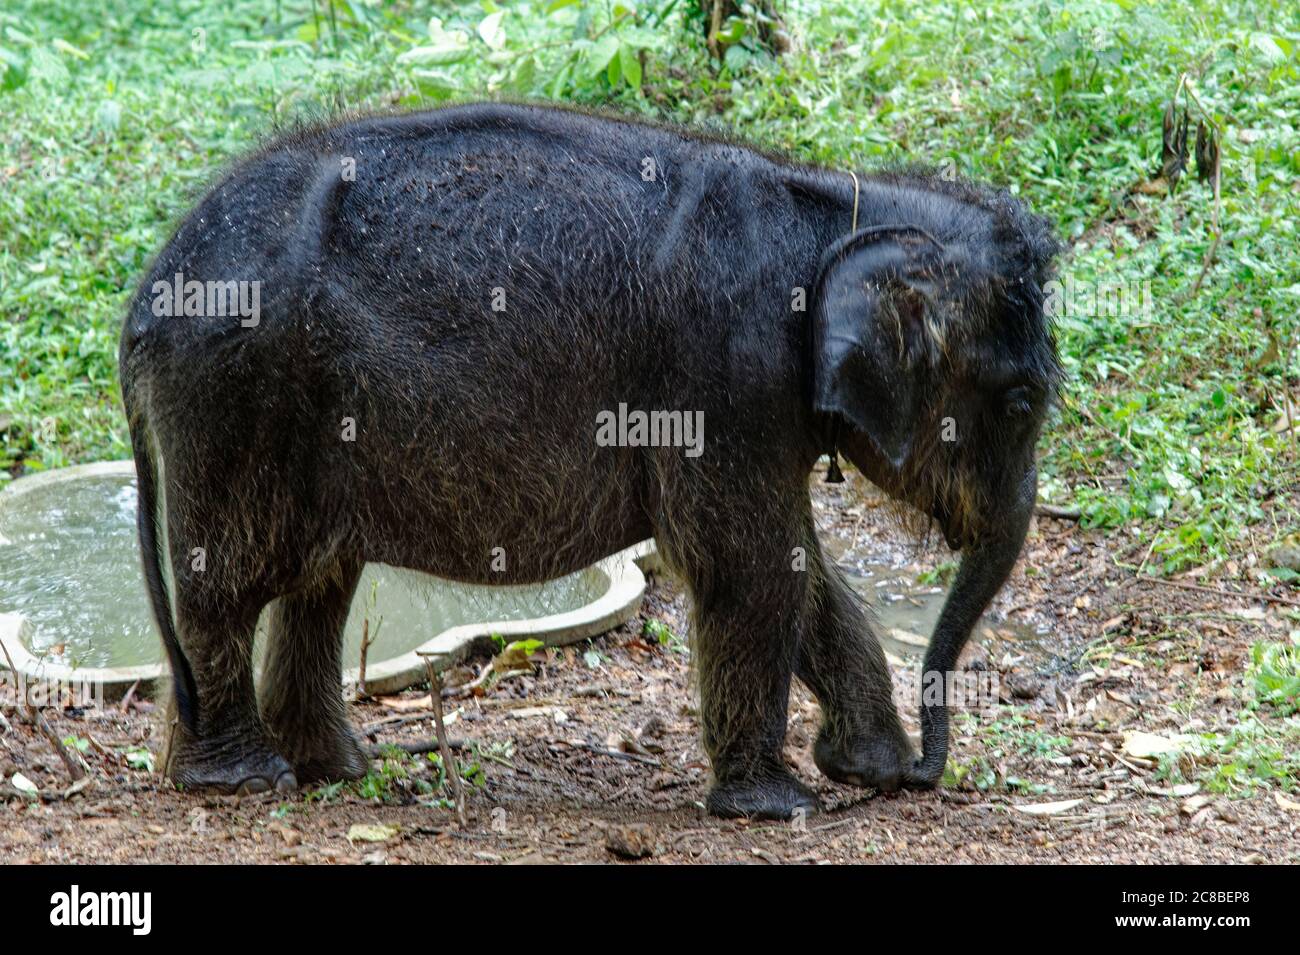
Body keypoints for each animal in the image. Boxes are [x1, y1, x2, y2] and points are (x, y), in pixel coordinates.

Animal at [118, 102, 1060, 819]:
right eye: (1020, 402)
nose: (927, 775)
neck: (842, 206)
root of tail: (145, 295)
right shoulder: (726, 375)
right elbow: (748, 564)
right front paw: (781, 804)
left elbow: (798, 566)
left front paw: (866, 768)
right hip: (236, 393)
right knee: (226, 579)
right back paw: (240, 778)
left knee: (320, 578)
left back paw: (336, 768)